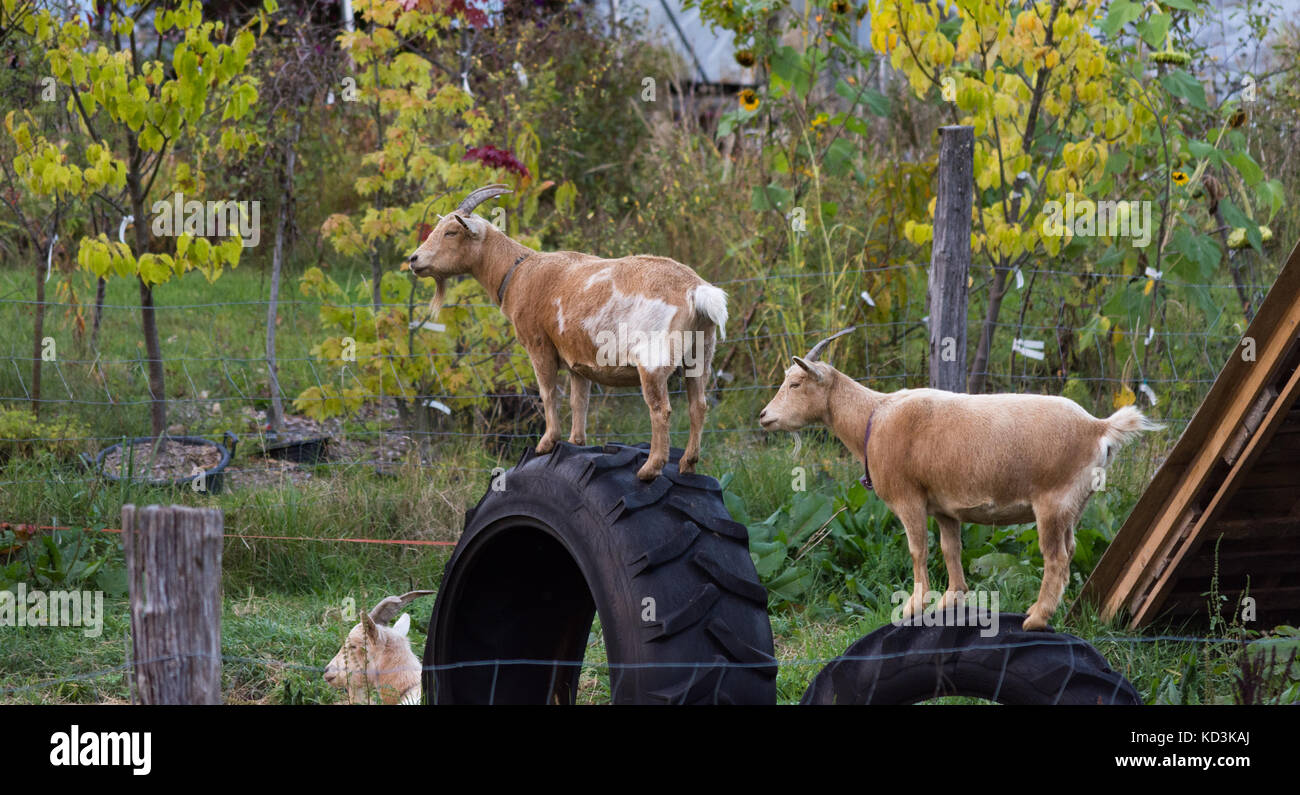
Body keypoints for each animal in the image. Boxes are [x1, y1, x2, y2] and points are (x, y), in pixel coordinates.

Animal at [404, 185, 728, 480]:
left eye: (451, 232)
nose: (414, 260)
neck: (518, 272)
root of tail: (696, 290)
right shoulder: (577, 359)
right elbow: (578, 401)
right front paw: (576, 442)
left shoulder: (539, 343)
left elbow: (547, 392)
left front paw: (547, 443)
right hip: (702, 351)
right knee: (698, 405)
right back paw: (687, 464)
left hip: (653, 356)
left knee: (661, 409)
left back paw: (650, 469)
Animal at [758, 328, 1163, 631]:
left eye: (795, 384)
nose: (764, 416)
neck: (874, 416)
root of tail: (1098, 426)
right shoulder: (944, 507)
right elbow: (950, 549)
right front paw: (952, 599)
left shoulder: (909, 498)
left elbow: (918, 549)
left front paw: (914, 605)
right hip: (1073, 507)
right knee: (1071, 550)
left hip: (1052, 502)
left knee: (1057, 559)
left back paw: (1035, 618)